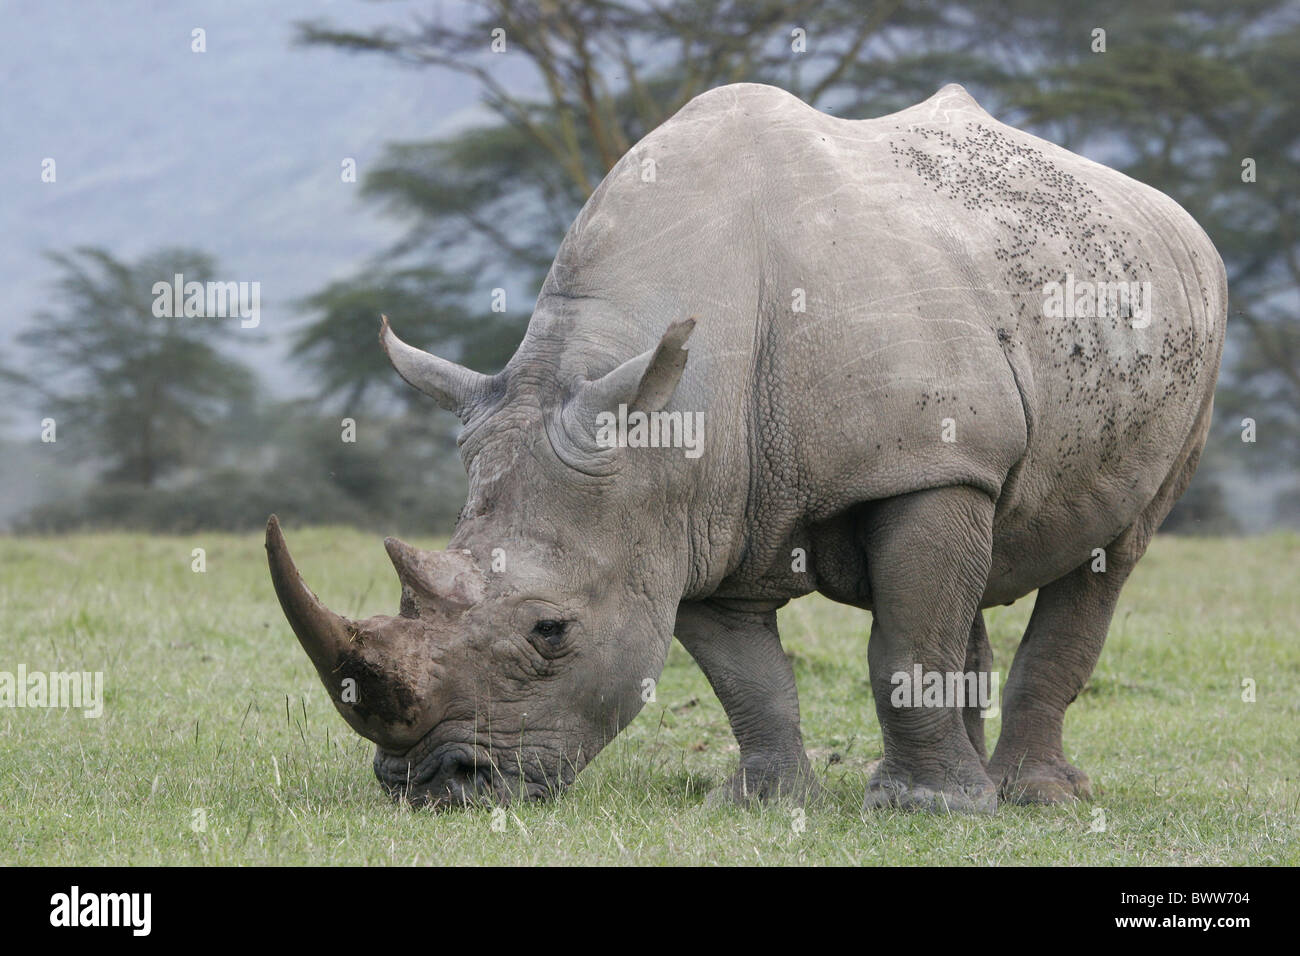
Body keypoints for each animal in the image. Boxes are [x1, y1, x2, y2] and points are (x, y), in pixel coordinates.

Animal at [267, 82, 1226, 813]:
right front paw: (765, 803)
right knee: (974, 566)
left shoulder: (911, 461)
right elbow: (748, 677)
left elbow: (902, 647)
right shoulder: (686, 511)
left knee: (1109, 552)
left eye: (550, 631)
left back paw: (1033, 798)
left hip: (1189, 334)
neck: (667, 420)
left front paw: (931, 812)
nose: (433, 786)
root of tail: (1175, 214)